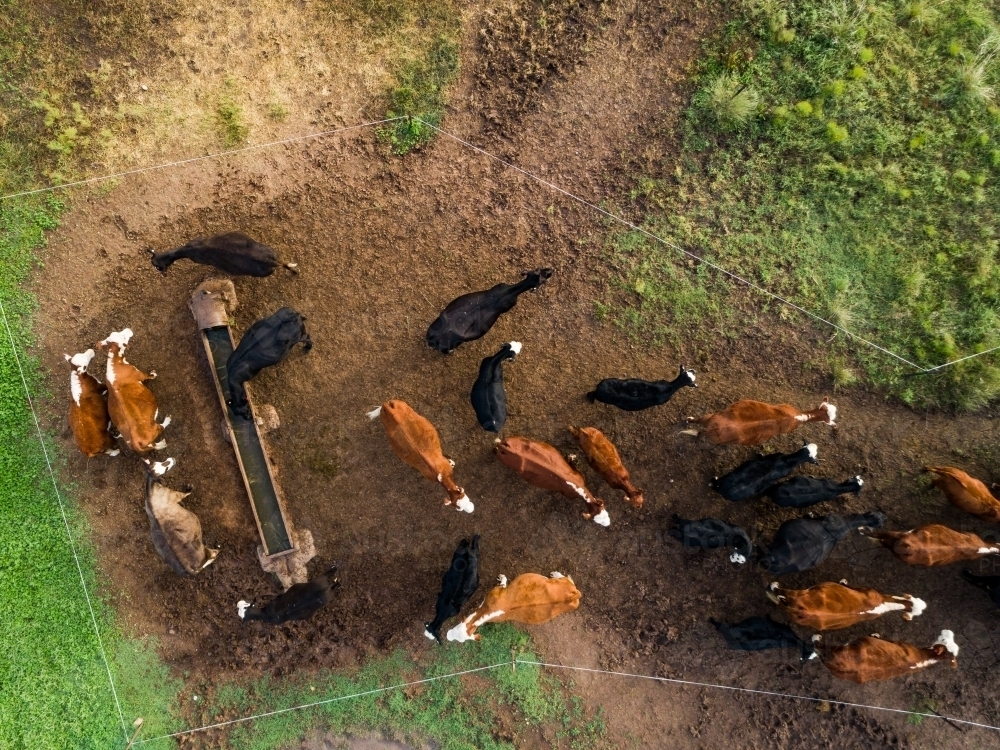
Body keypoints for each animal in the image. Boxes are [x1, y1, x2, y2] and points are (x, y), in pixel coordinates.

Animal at [96, 329, 173, 471]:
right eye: (124, 337)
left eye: (117, 332)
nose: (128, 330)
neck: (116, 363)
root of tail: (134, 441)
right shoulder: (140, 375)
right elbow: (149, 376)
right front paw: (154, 373)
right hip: (154, 428)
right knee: (161, 428)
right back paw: (167, 420)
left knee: (154, 445)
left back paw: (162, 444)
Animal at [446, 572, 581, 643]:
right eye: (454, 628)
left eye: (461, 641)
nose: (447, 636)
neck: (489, 611)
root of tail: (573, 596)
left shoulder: (498, 589)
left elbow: (503, 583)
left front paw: (502, 578)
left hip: (565, 587)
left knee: (568, 579)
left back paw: (556, 574)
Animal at [819, 630, 958, 684]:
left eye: (943, 639)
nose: (947, 631)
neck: (924, 657)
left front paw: (876, 635)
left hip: (853, 644)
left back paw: (817, 637)